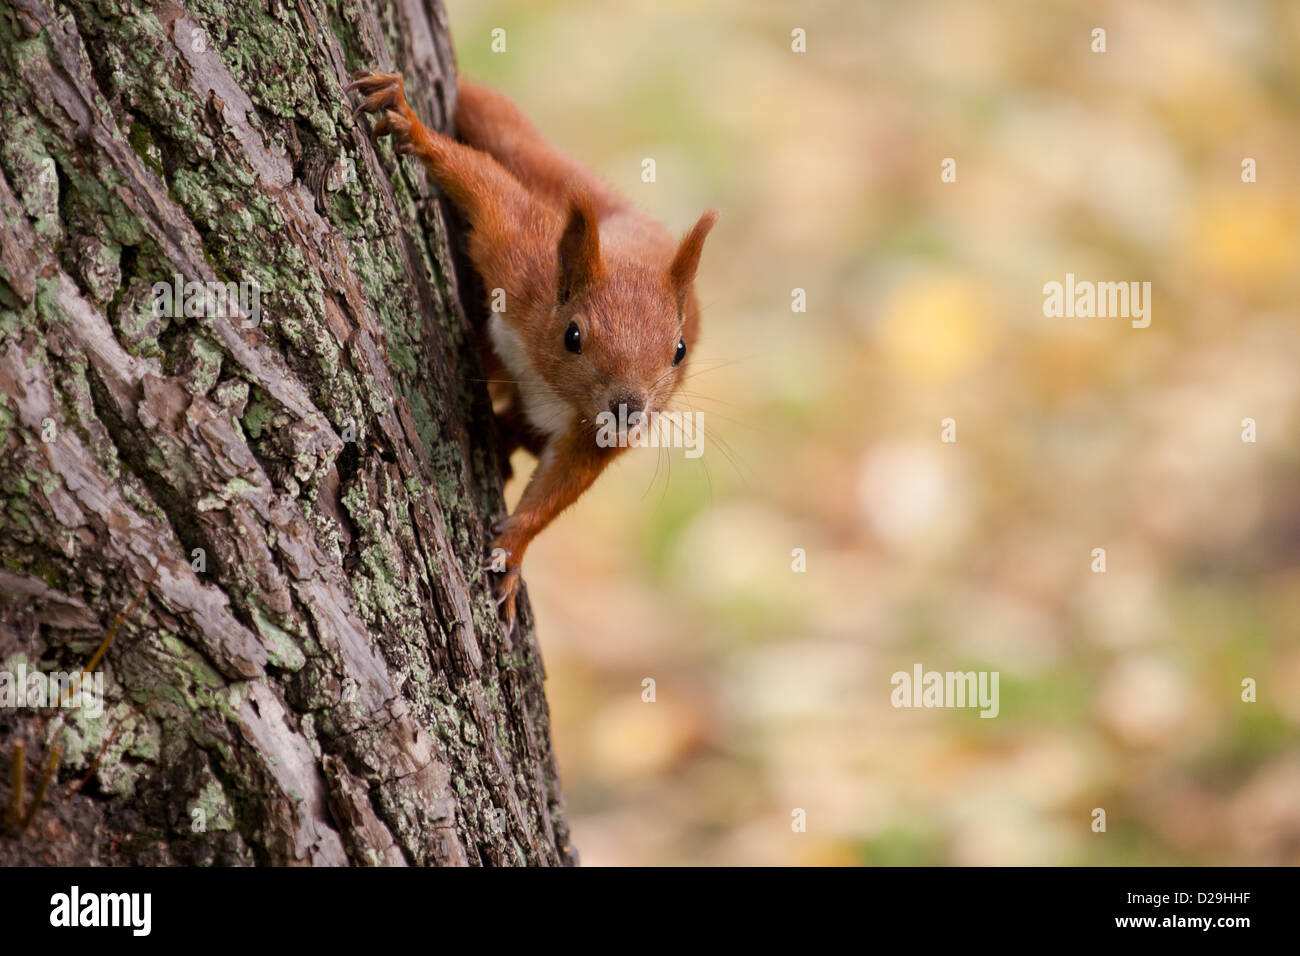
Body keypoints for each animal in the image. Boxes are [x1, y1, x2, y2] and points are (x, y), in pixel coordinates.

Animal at [347, 70, 717, 633]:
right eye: (574, 336)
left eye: (679, 351)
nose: (629, 409)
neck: (549, 380)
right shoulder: (521, 257)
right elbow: (487, 188)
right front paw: (409, 122)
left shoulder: (595, 435)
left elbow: (562, 485)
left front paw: (513, 551)